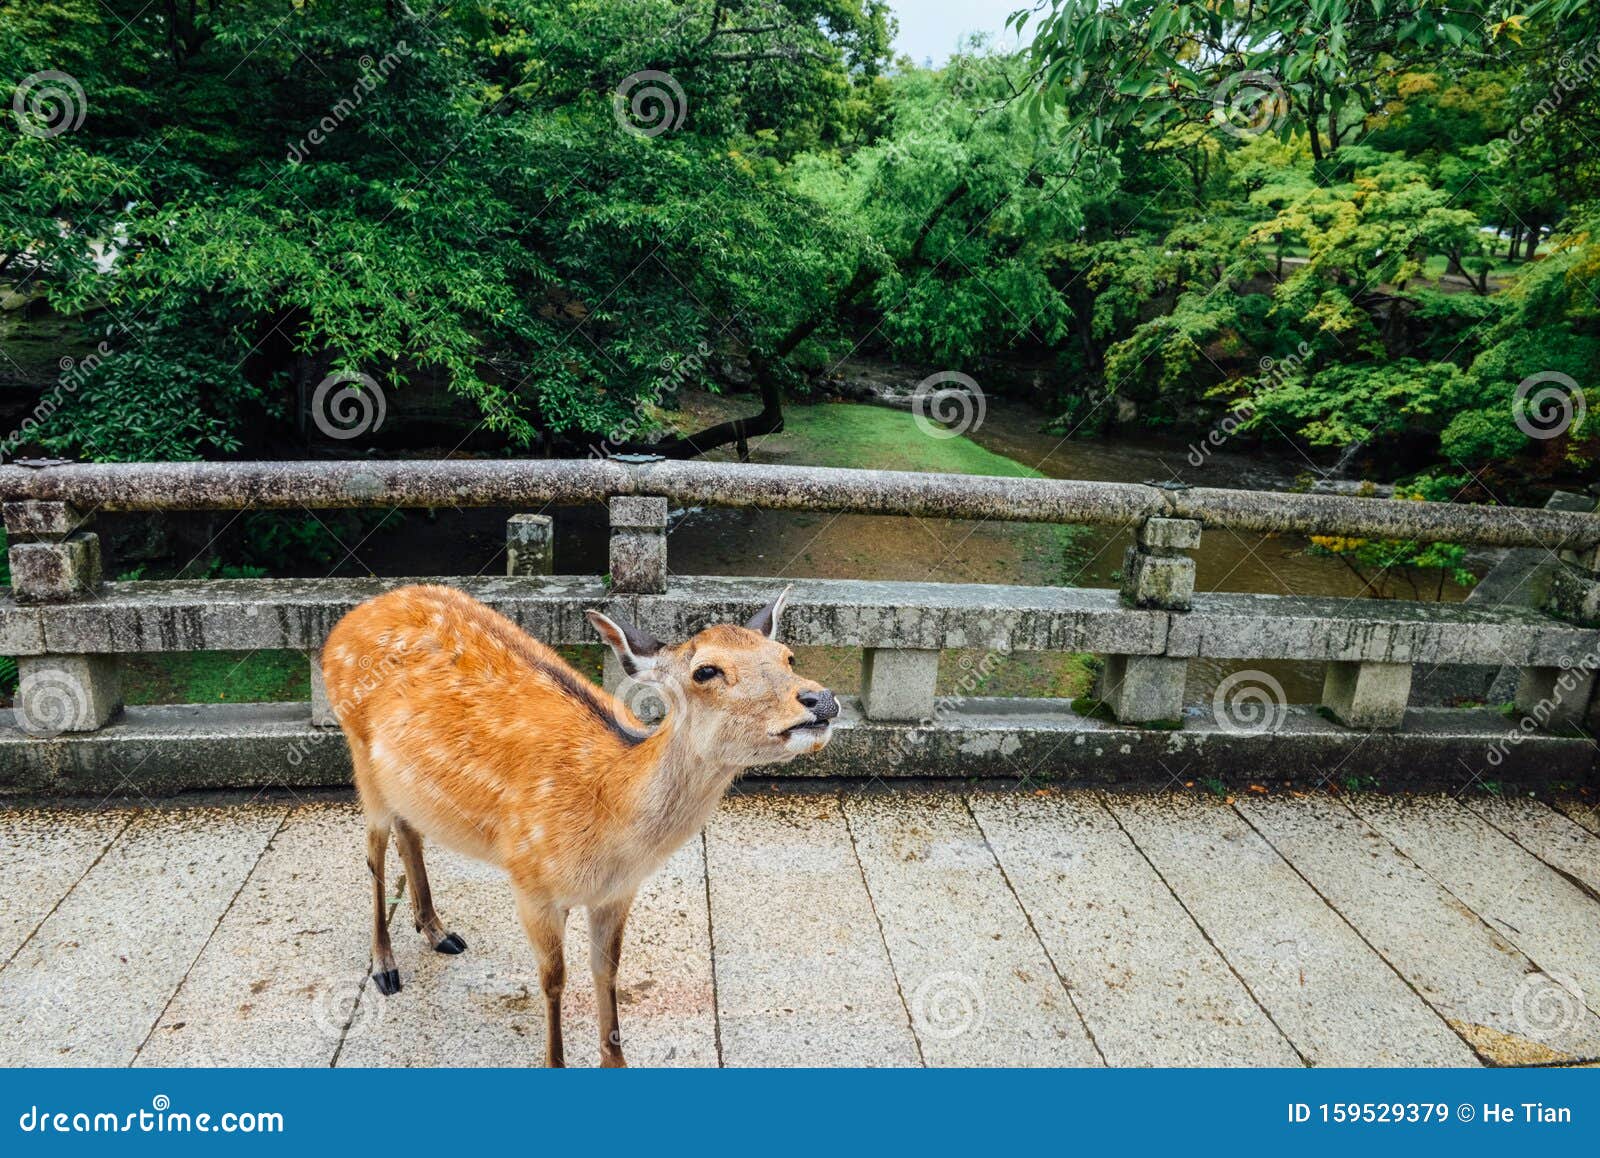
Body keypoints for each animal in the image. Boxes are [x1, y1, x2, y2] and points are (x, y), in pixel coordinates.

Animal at [319, 582, 836, 1067]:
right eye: (705, 671)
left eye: (788, 656)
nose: (820, 698)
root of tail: (344, 625)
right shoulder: (531, 882)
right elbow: (553, 979)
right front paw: (555, 1061)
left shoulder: (616, 894)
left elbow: (607, 970)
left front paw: (616, 1060)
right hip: (360, 755)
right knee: (374, 851)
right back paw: (384, 966)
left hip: (404, 784)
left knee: (410, 831)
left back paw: (438, 930)